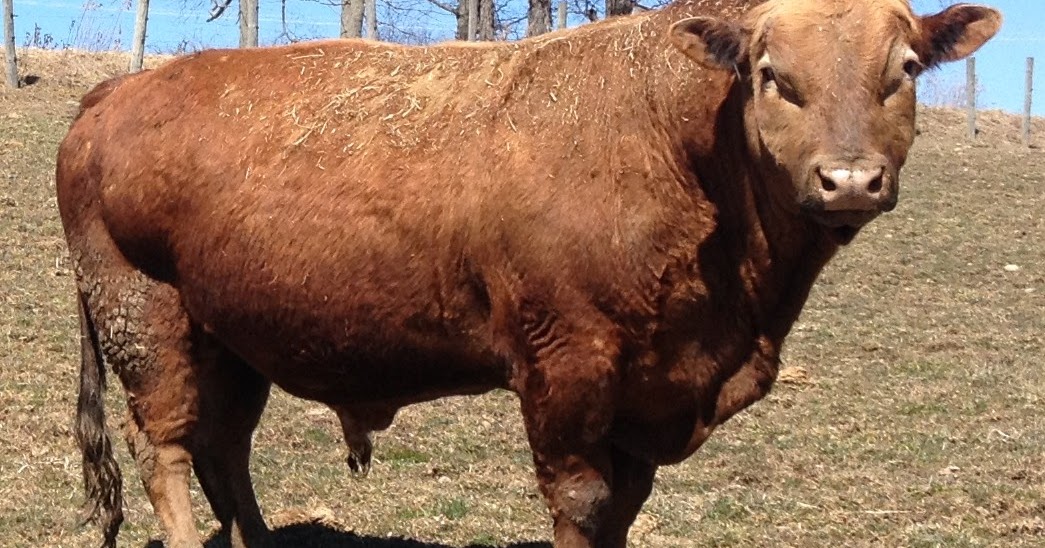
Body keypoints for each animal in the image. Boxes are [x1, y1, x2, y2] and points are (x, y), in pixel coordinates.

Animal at [56, 1, 1000, 546]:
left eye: (903, 70)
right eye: (771, 74)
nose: (849, 180)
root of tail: (111, 97)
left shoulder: (644, 394)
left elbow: (623, 508)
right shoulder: (567, 372)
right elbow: (582, 503)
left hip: (234, 340)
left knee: (225, 450)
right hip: (147, 321)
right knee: (167, 448)